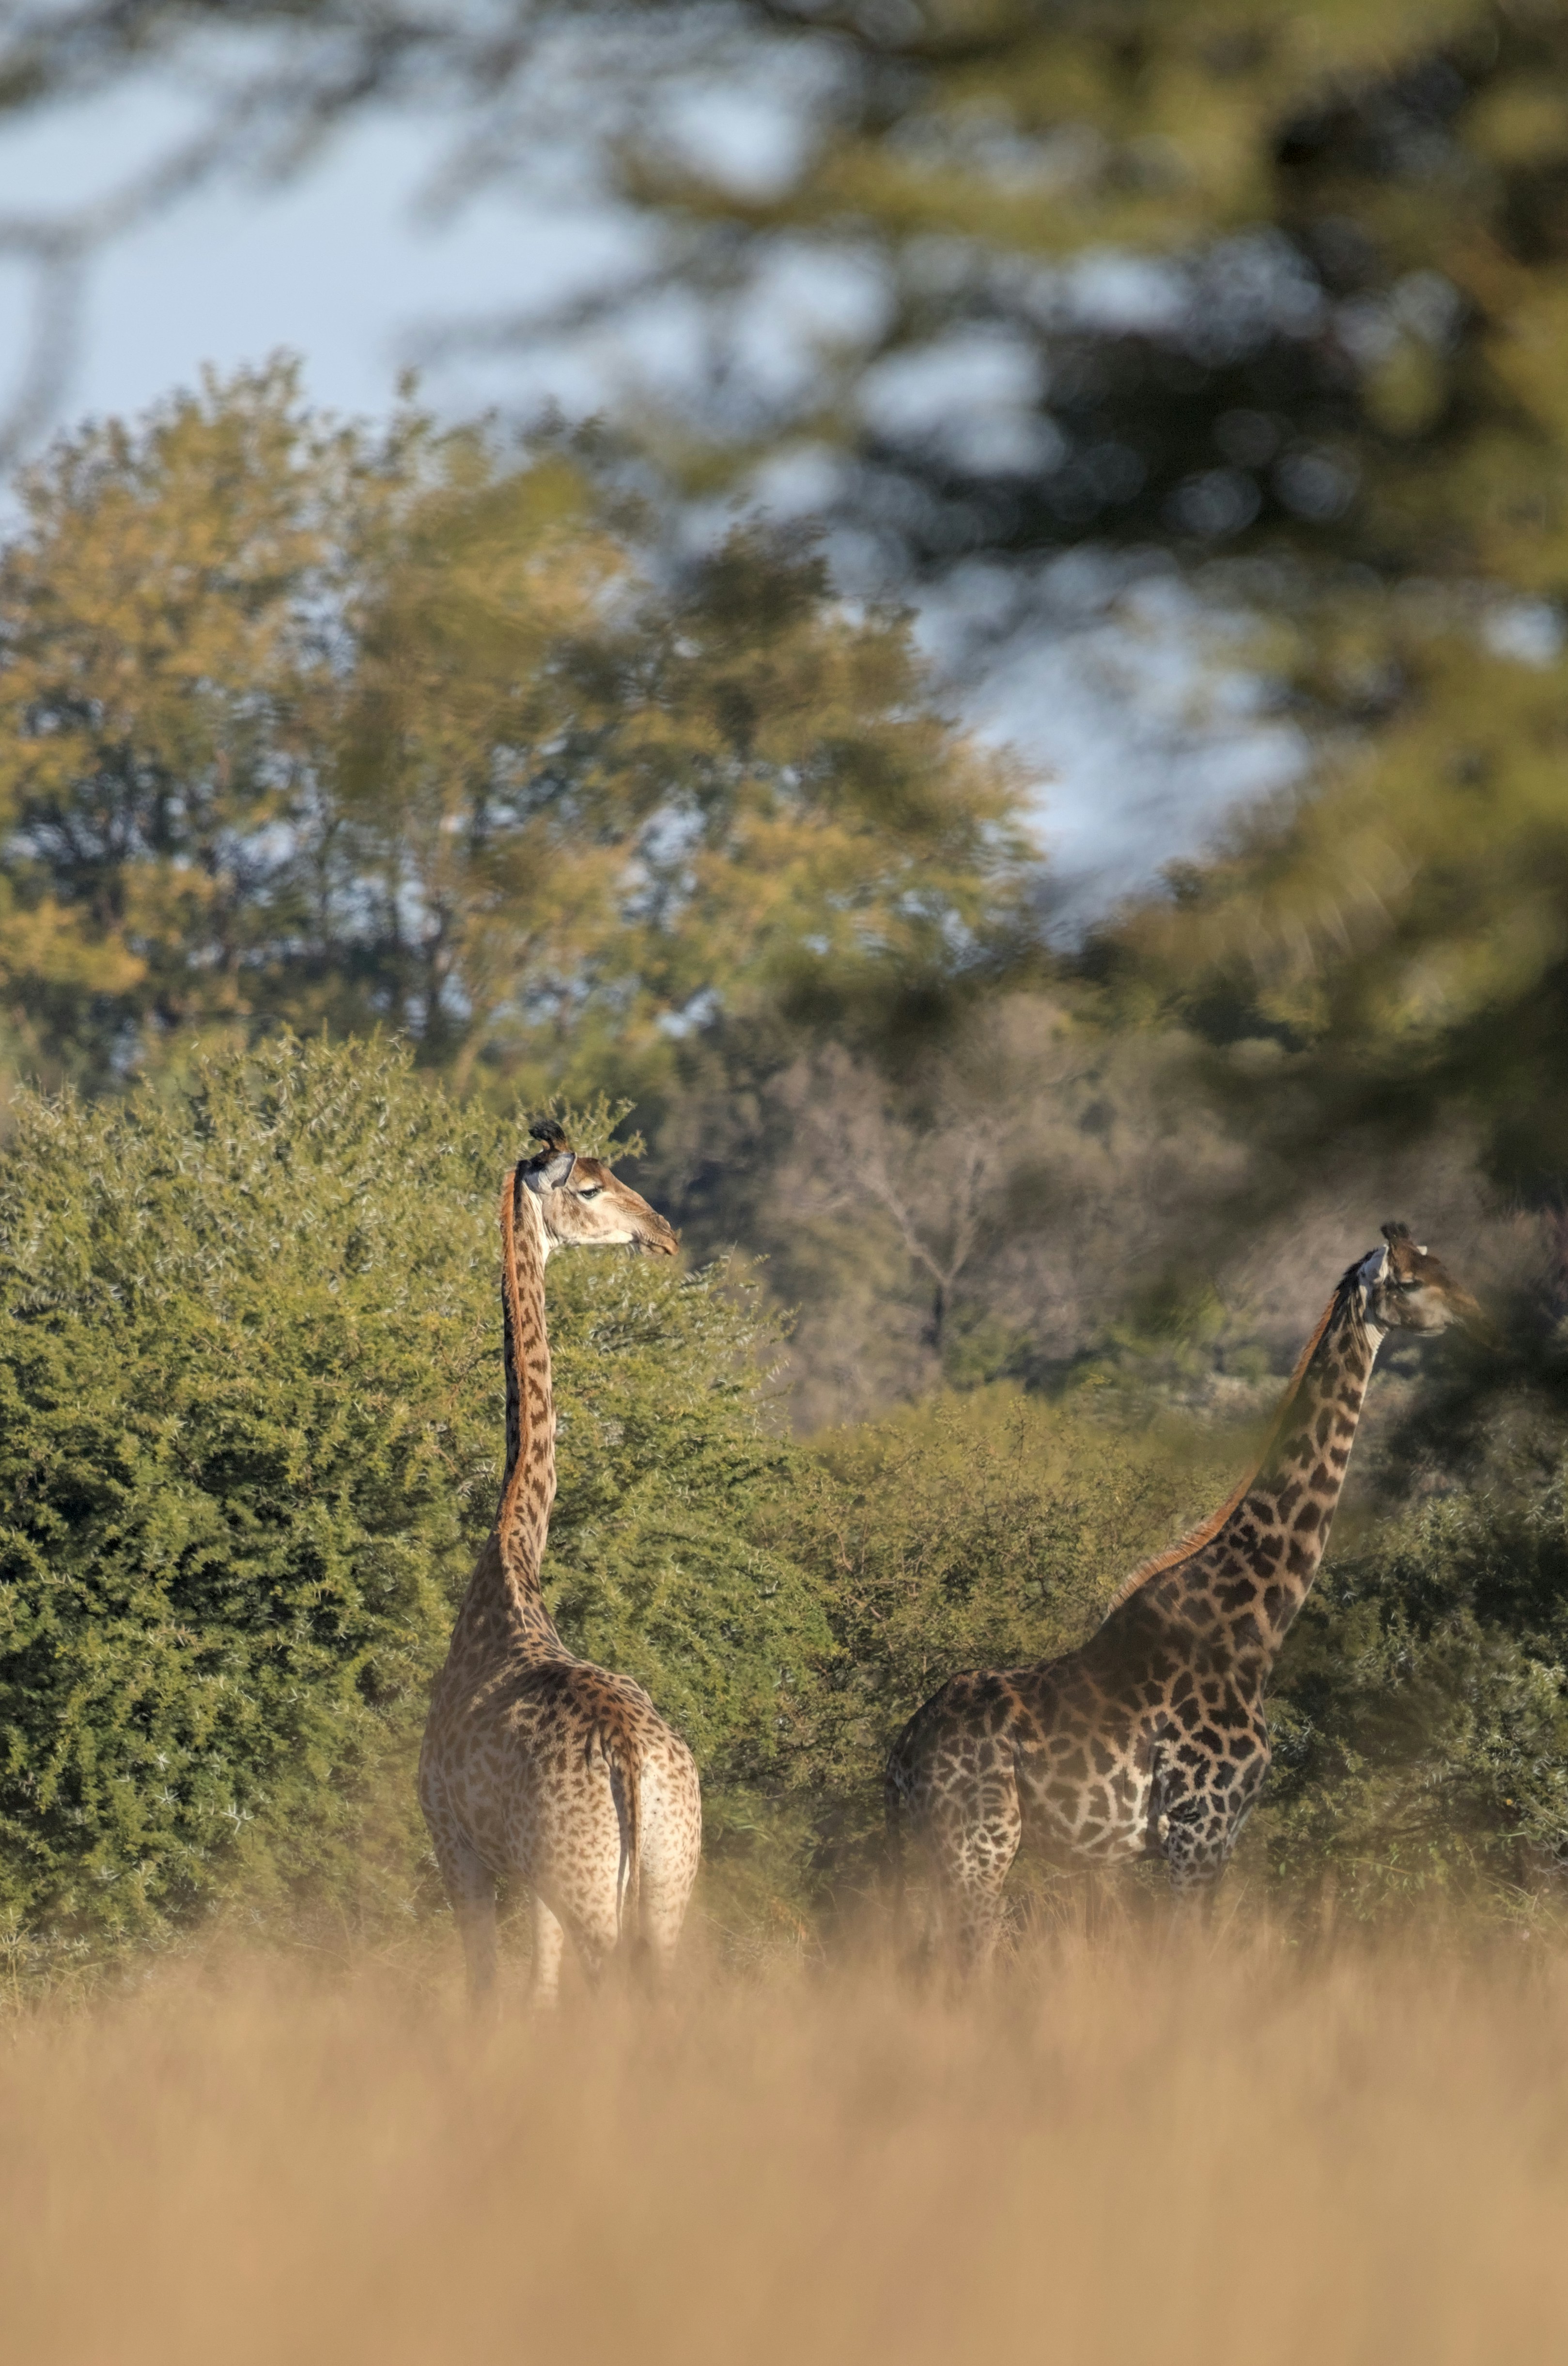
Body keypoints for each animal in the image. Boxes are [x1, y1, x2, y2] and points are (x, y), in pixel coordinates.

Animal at [419, 1121, 703, 2009]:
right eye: (589, 1187)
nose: (663, 1233)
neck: (511, 1566)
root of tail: (632, 1758)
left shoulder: (456, 1843)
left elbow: (489, 1988)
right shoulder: (532, 1877)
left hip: (586, 1884)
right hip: (666, 1877)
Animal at [885, 1222, 1484, 1973]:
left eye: (1438, 1261)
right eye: (1408, 1280)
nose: (1476, 1310)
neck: (1256, 1622)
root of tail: (902, 1753)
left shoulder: (1211, 1833)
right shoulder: (1198, 1826)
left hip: (938, 1853)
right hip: (981, 1845)